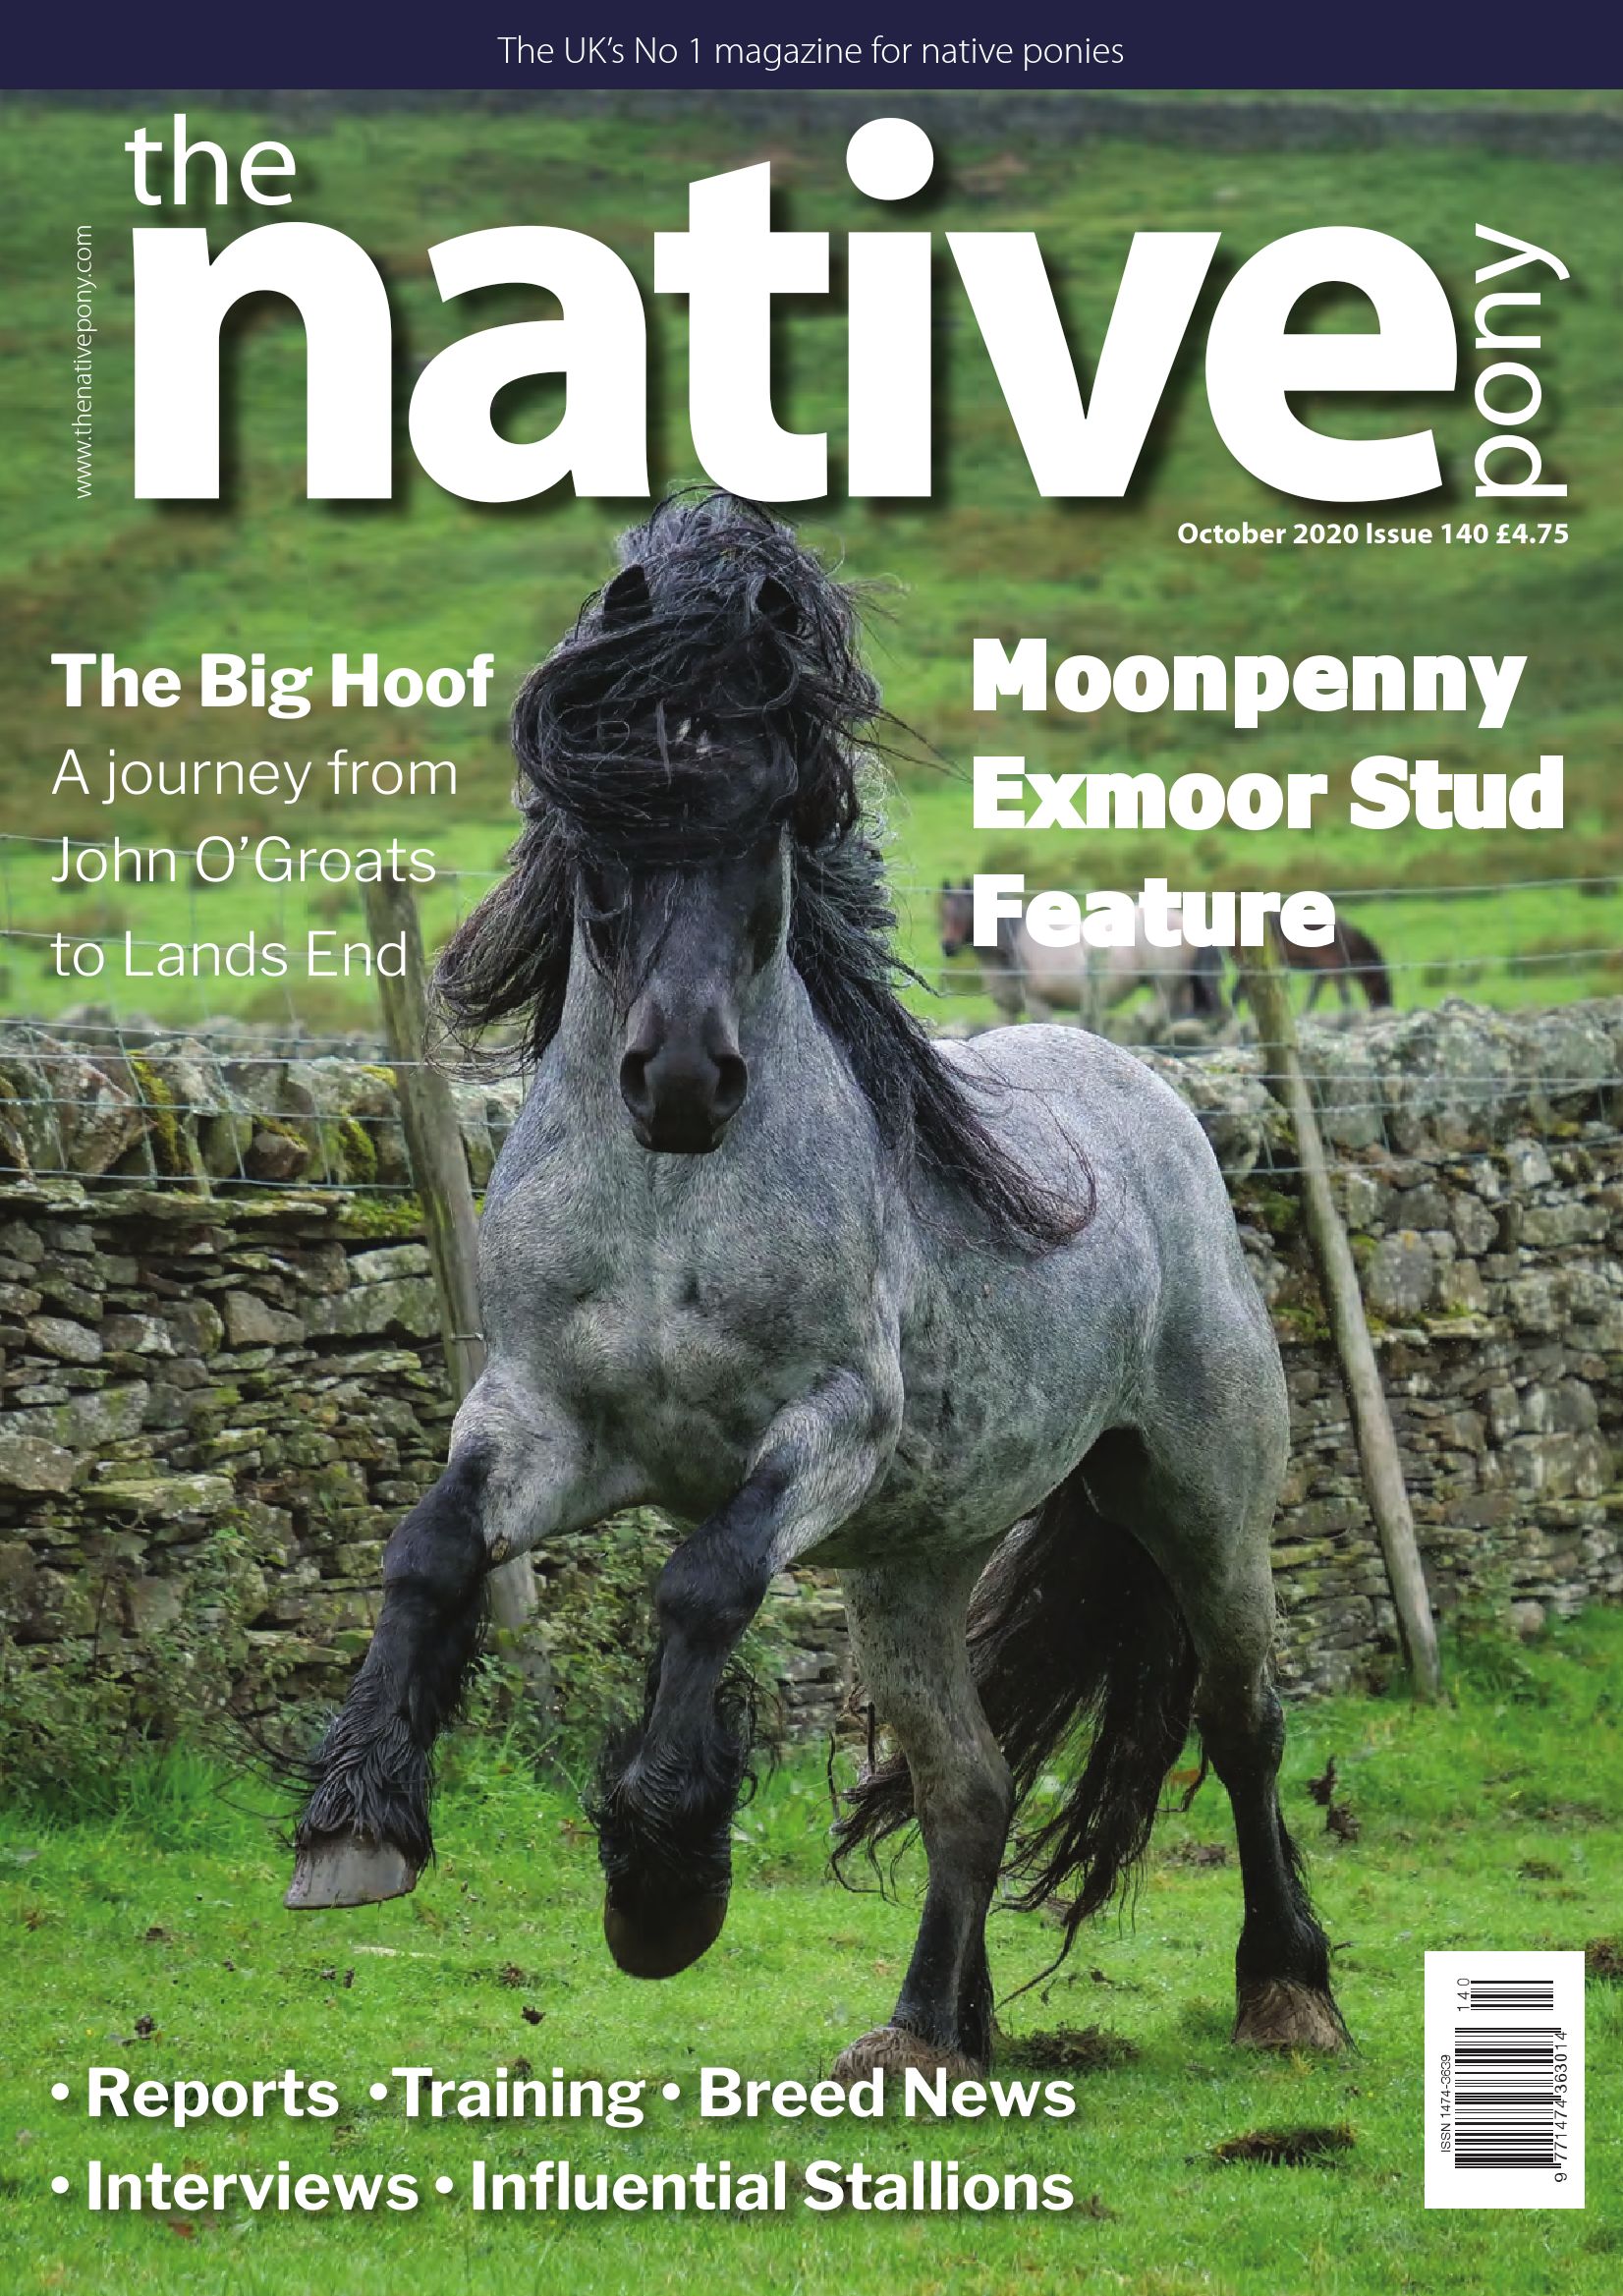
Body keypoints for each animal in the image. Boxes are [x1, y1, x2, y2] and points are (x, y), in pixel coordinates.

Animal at [938, 883, 1226, 1031]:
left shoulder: (1039, 1006)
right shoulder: (1006, 1009)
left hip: (1165, 982)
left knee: (1160, 1008)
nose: (947, 947)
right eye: (943, 912)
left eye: (964, 913)